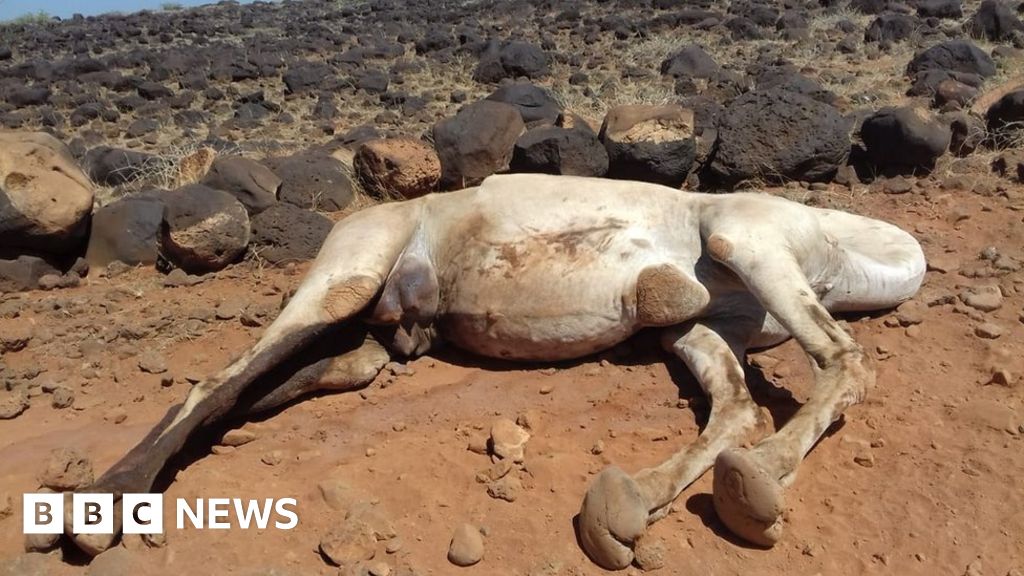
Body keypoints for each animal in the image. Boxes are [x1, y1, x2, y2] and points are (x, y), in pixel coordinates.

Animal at [63, 173, 926, 570]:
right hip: (702, 307)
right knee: (755, 395)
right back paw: (643, 503)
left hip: (731, 261)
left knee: (825, 368)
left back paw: (741, 482)